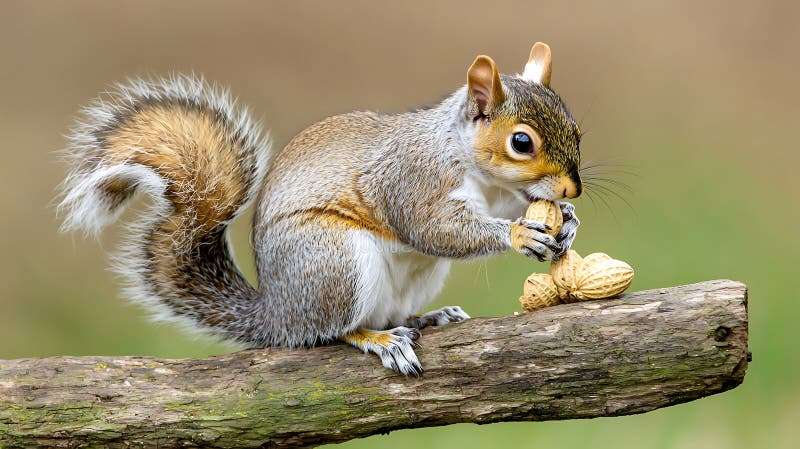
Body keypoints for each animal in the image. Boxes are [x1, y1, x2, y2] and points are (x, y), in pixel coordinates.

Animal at [58, 42, 582, 375]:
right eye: (521, 142)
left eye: (576, 129)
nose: (573, 190)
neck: (479, 173)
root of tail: (277, 314)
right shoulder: (410, 181)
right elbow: (433, 229)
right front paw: (519, 233)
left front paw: (567, 223)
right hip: (334, 261)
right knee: (329, 332)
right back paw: (377, 340)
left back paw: (425, 319)